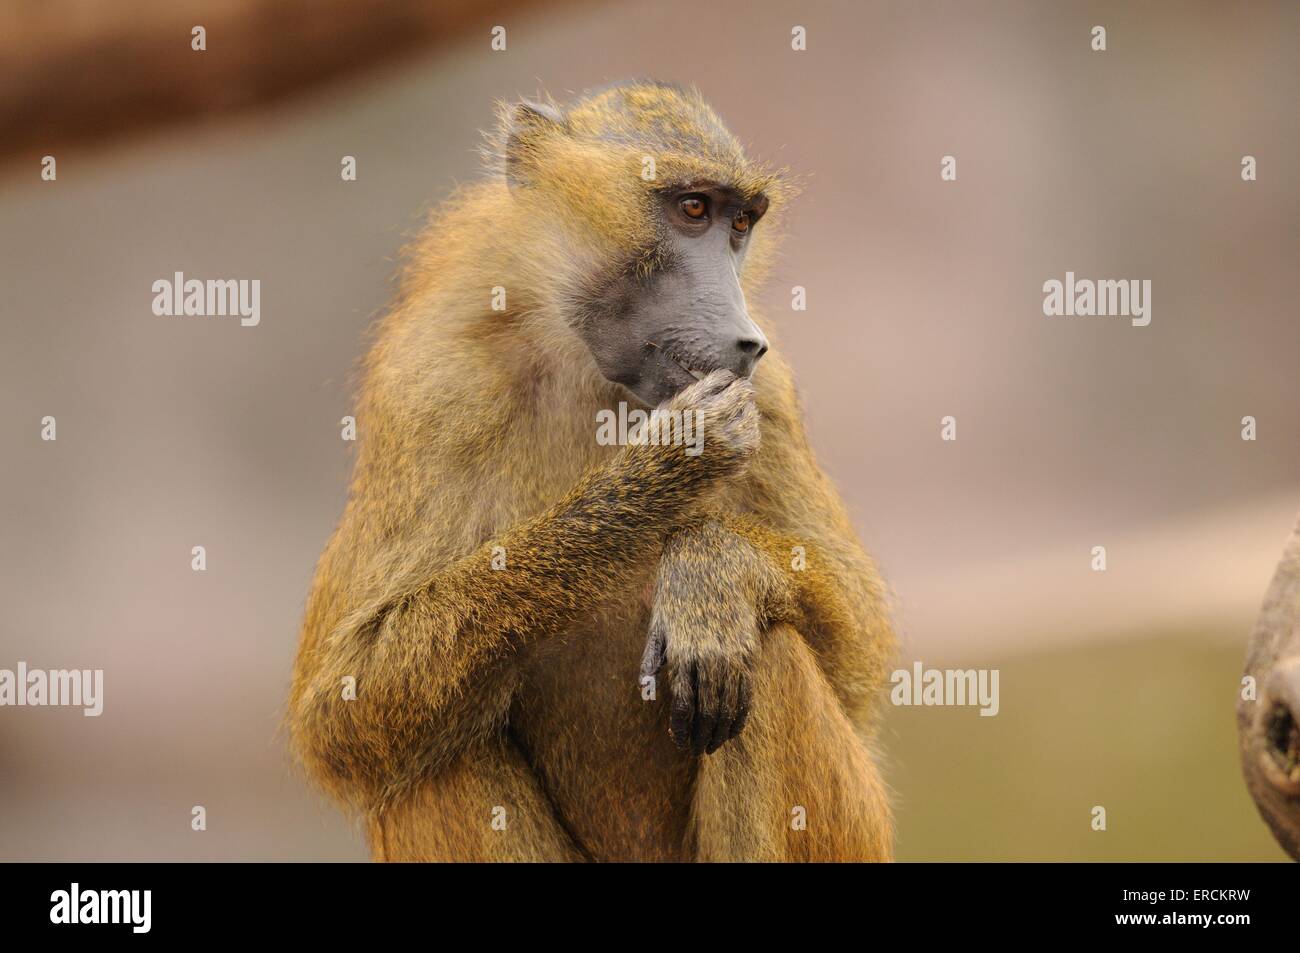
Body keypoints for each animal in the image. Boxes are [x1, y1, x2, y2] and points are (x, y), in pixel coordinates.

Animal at [288, 81, 896, 862]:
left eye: (741, 223)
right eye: (692, 209)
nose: (746, 341)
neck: (584, 367)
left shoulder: (771, 394)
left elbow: (859, 657)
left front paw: (714, 571)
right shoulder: (430, 380)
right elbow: (342, 702)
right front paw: (669, 464)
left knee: (769, 648)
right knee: (430, 751)